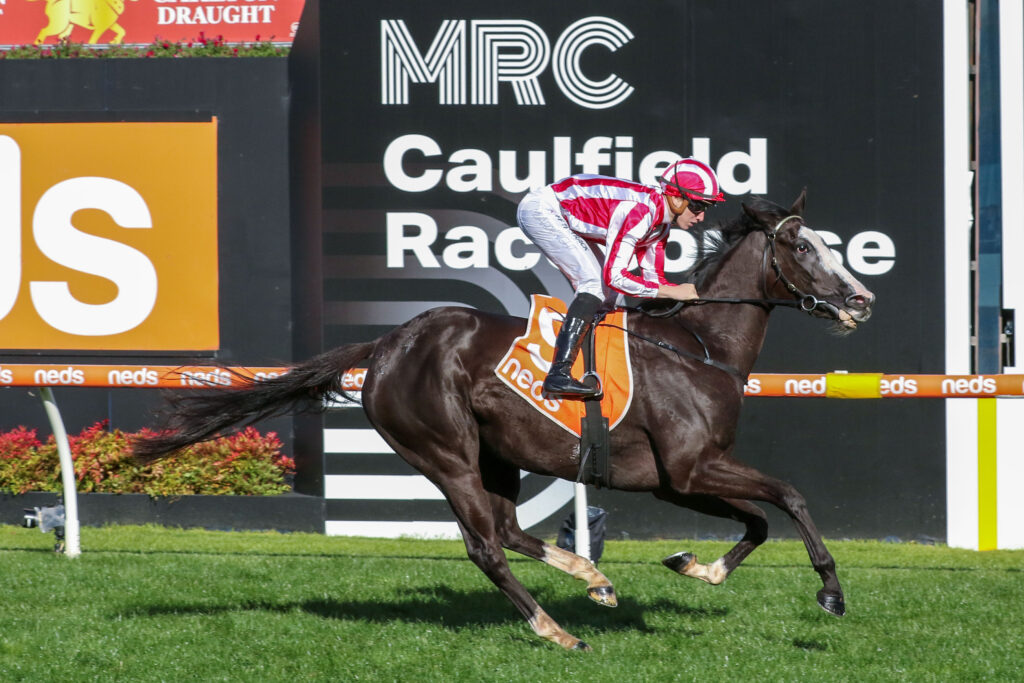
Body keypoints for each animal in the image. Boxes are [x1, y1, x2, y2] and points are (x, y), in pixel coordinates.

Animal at [134, 192, 875, 651]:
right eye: (803, 249)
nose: (861, 300)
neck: (699, 345)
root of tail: (387, 344)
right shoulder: (692, 468)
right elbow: (789, 497)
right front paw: (831, 593)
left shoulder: (678, 479)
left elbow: (758, 518)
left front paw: (695, 566)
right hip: (446, 453)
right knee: (486, 546)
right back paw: (557, 630)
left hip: (499, 455)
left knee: (512, 531)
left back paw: (594, 580)